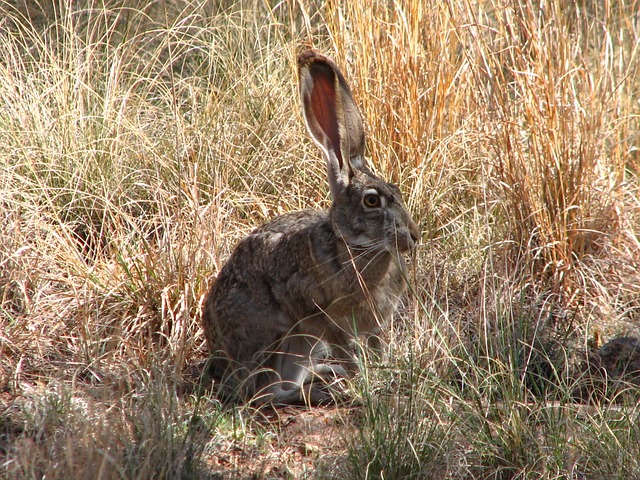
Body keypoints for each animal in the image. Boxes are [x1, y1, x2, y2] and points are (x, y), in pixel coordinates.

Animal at [202, 50, 421, 405]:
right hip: (276, 339)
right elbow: (346, 348)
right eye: (372, 201)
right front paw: (362, 378)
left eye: (397, 190)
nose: (413, 236)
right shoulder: (318, 313)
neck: (352, 247)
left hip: (301, 345)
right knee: (262, 393)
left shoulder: (374, 323)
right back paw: (319, 392)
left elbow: (376, 348)